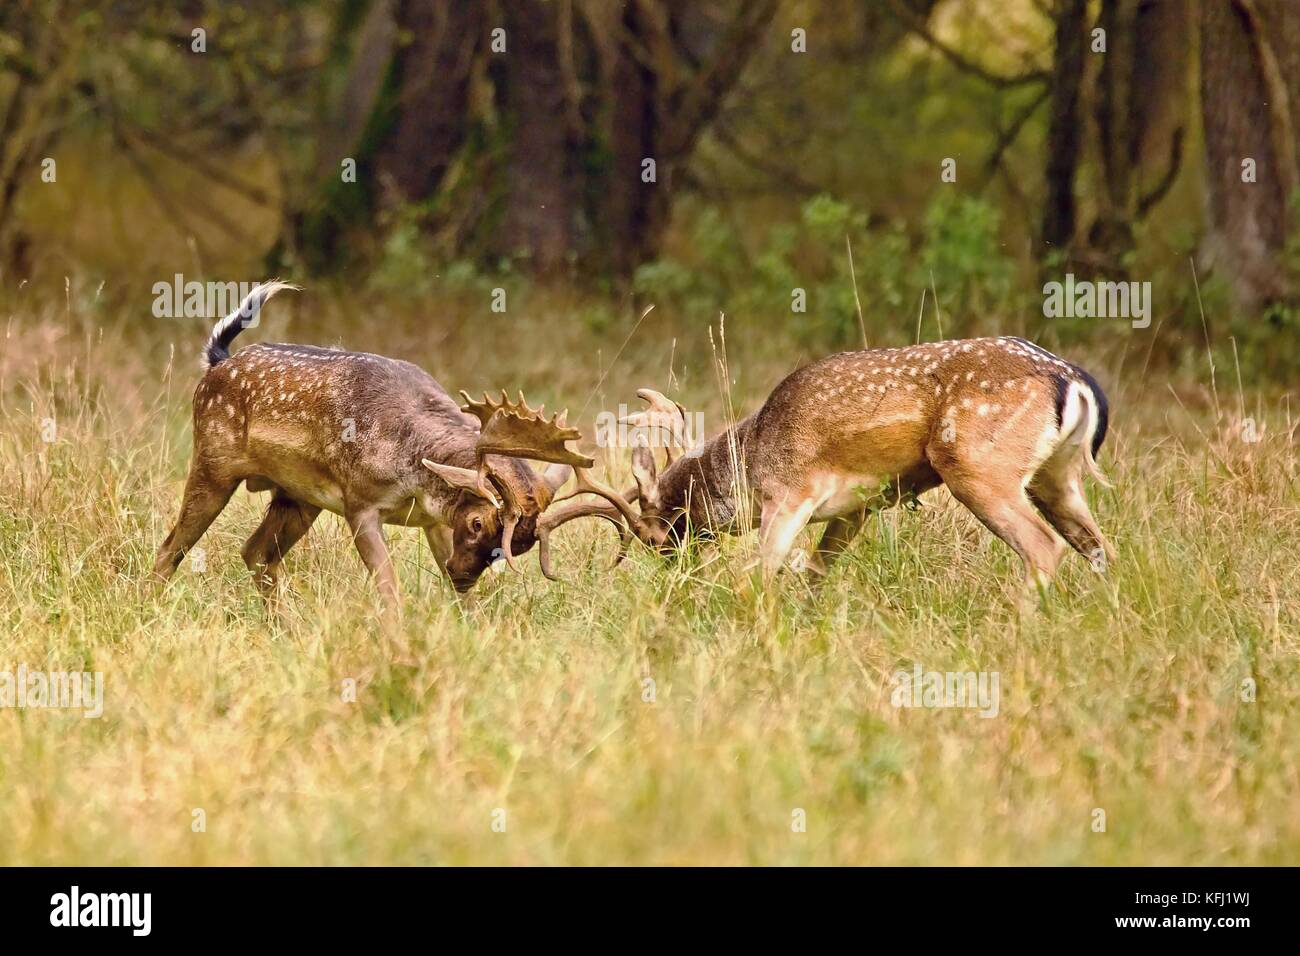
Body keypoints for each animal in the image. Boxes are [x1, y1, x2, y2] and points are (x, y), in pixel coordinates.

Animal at [152, 282, 608, 618]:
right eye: (479, 523)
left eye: (521, 547)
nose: (461, 575)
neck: (414, 470)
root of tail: (217, 362)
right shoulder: (360, 502)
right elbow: (388, 586)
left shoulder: (433, 520)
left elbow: (464, 603)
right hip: (213, 462)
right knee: (170, 549)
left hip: (298, 497)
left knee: (256, 554)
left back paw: (284, 626)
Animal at [534, 337, 1113, 602]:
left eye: (655, 537)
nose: (676, 570)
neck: (754, 457)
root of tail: (1074, 382)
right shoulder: (857, 507)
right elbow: (814, 574)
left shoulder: (791, 494)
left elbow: (760, 573)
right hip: (1056, 475)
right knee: (1099, 546)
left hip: (979, 466)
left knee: (1044, 545)